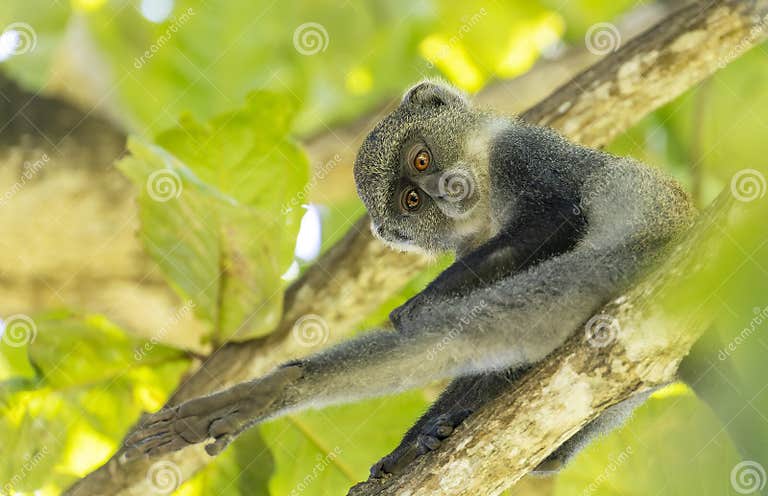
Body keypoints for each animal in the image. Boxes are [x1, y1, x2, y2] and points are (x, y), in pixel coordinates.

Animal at [125, 80, 695, 478]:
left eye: (422, 159)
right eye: (413, 200)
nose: (443, 188)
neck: (483, 200)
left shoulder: (523, 151)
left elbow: (557, 215)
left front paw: (421, 300)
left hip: (615, 263)